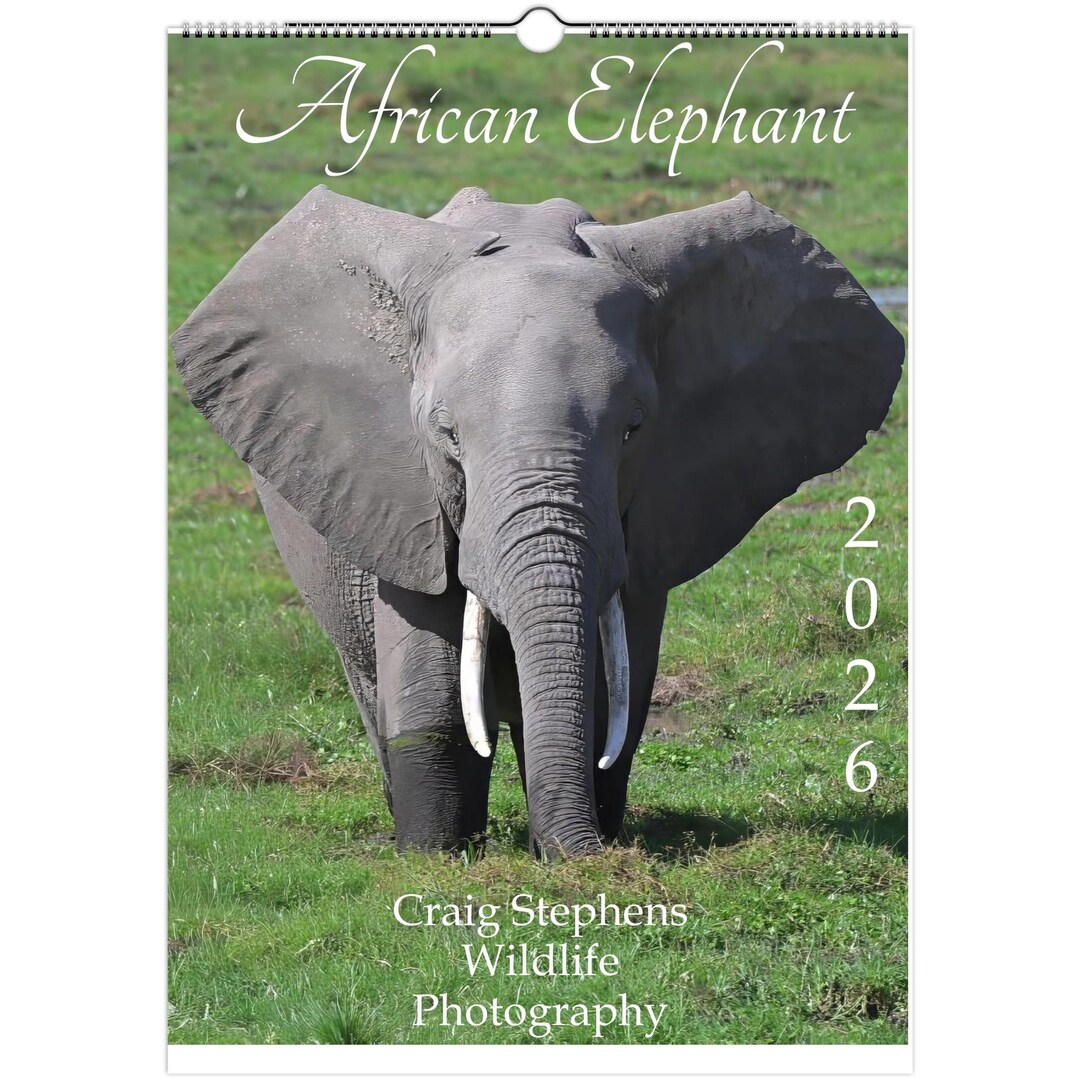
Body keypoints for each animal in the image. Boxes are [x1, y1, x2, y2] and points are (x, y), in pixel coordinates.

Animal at [171, 184, 904, 860]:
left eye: (634, 430)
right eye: (447, 437)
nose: (593, 857)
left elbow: (612, 685)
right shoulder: (399, 494)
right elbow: (430, 669)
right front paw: (433, 855)